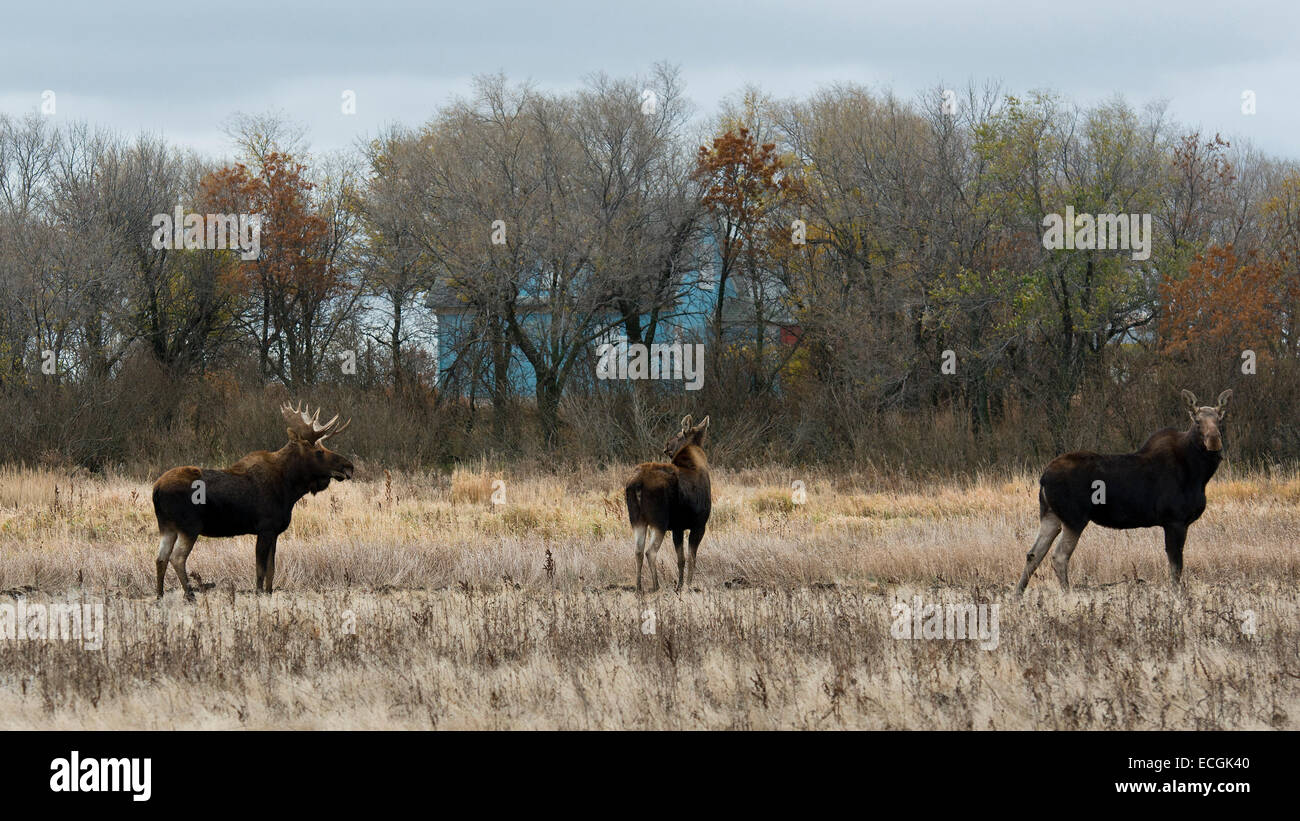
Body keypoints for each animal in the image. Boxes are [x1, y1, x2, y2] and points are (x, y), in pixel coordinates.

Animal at [151, 402, 354, 600]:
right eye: (319, 451)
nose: (348, 466)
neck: (290, 488)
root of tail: (156, 489)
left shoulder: (274, 532)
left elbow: (271, 570)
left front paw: (269, 593)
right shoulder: (265, 529)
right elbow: (260, 570)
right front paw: (258, 594)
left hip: (167, 527)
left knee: (160, 558)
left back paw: (160, 596)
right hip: (190, 527)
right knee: (177, 558)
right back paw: (190, 595)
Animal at [625, 415, 712, 593]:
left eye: (678, 435)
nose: (666, 446)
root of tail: (637, 484)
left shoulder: (678, 527)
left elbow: (681, 559)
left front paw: (679, 586)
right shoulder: (699, 524)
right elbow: (692, 558)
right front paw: (688, 586)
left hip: (638, 520)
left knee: (638, 550)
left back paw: (638, 587)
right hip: (659, 521)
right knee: (650, 552)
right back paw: (656, 585)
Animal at [1015, 389, 1231, 596]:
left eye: (1220, 420)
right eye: (1197, 421)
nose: (1214, 440)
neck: (1199, 473)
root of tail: (1043, 477)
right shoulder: (1175, 520)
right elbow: (1175, 567)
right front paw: (1178, 597)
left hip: (1050, 516)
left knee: (1033, 554)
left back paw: (1018, 594)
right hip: (1074, 519)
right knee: (1059, 556)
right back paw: (1068, 595)